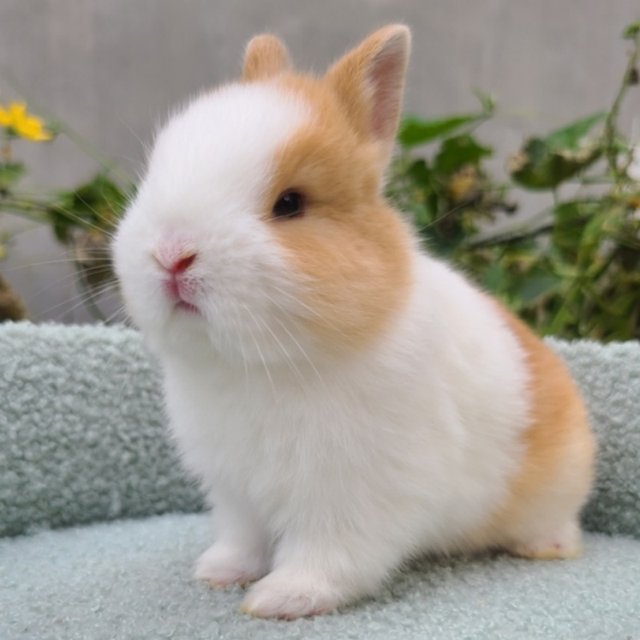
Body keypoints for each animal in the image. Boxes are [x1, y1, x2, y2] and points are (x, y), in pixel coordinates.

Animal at [112, 24, 596, 619]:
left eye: (290, 203)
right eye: (152, 177)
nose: (171, 255)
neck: (257, 366)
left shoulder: (352, 494)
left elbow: (329, 554)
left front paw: (282, 598)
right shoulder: (236, 492)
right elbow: (243, 539)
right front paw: (219, 573)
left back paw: (547, 547)